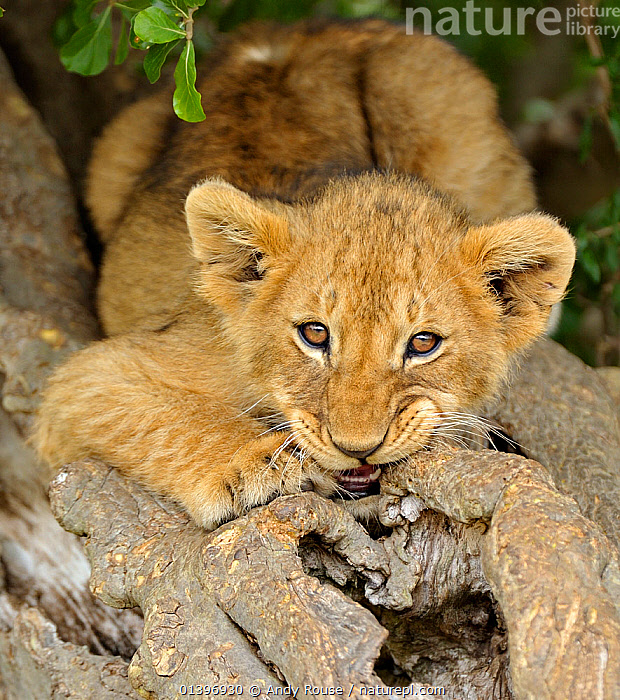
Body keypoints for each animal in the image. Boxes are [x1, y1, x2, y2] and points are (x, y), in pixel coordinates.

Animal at [33, 19, 576, 529]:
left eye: (424, 343)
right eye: (314, 334)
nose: (357, 447)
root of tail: (292, 30)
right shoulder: (91, 378)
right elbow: (169, 418)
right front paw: (257, 464)